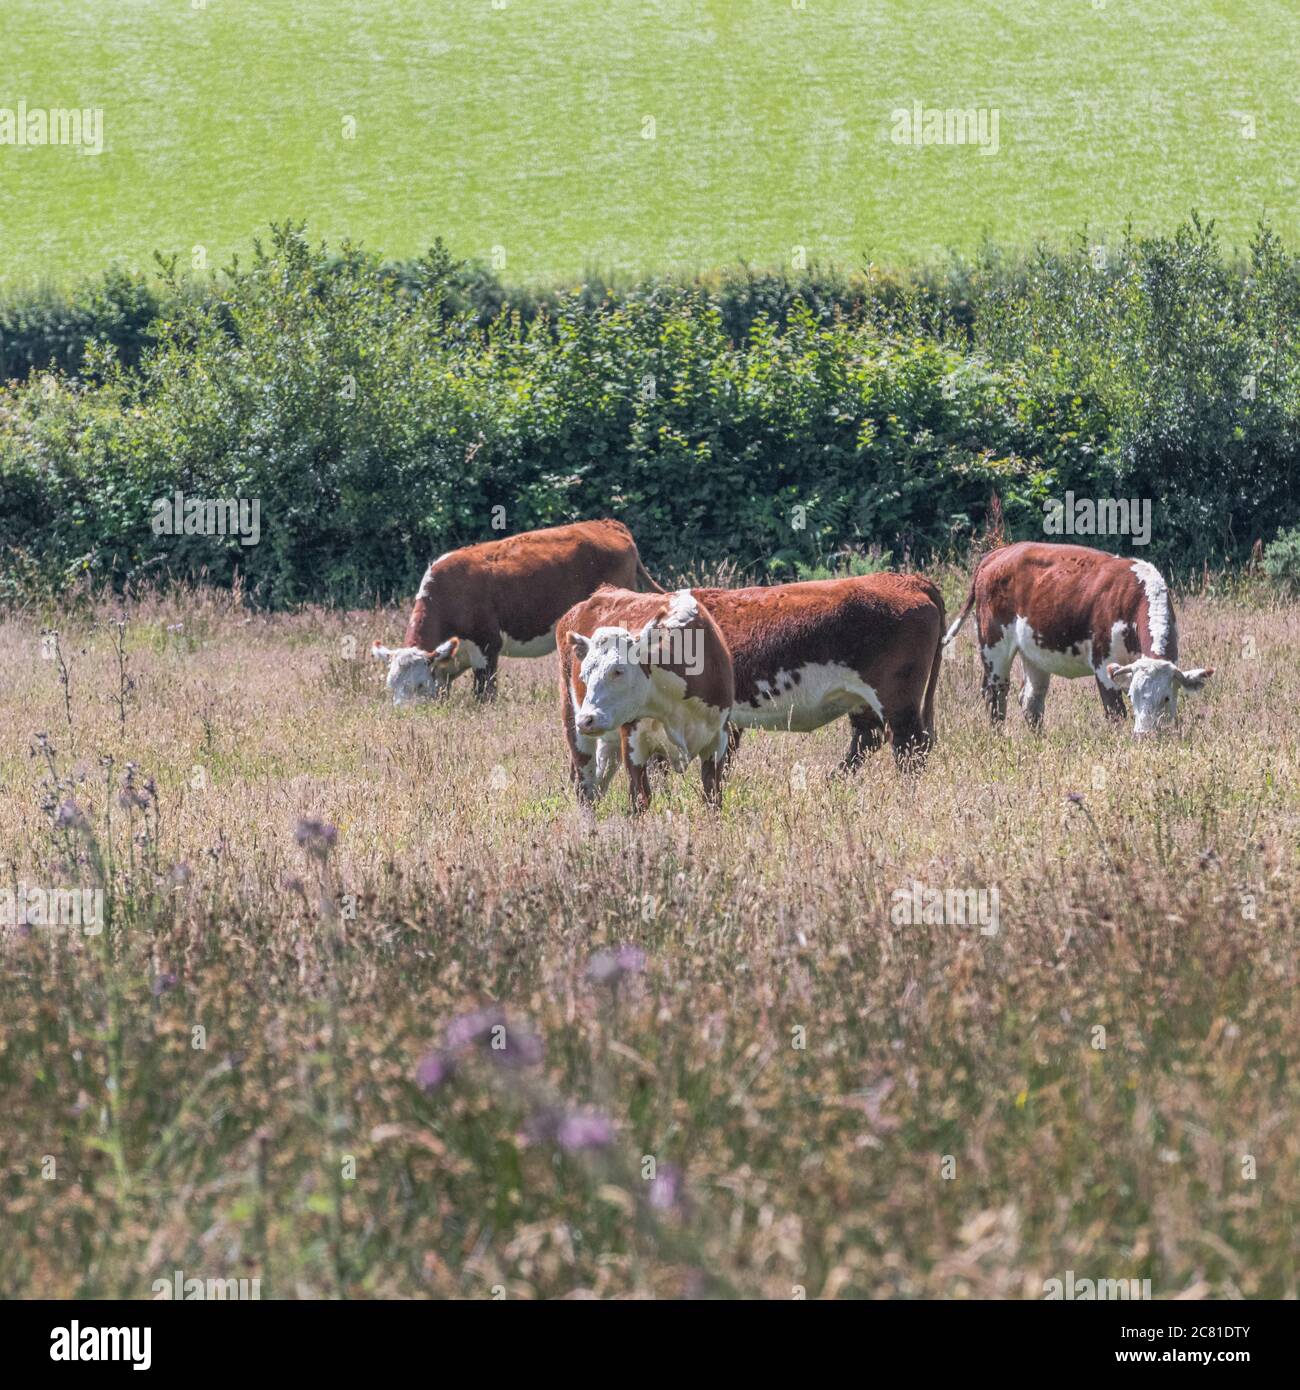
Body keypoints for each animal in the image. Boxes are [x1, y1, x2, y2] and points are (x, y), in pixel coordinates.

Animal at [372, 520, 662, 703]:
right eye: (391, 685)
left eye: (418, 685)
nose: (405, 714)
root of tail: (608, 524)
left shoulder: (488, 645)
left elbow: (484, 694)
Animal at [558, 586, 734, 812]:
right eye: (583, 676)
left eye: (618, 671)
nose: (586, 720)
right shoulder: (633, 744)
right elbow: (640, 798)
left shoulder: (718, 740)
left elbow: (713, 798)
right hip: (574, 723)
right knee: (585, 787)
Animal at [942, 541, 1213, 734]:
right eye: (1132, 696)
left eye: (1166, 697)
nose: (1143, 735)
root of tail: (1000, 552)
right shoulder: (1104, 665)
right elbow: (1115, 713)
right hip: (993, 645)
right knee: (995, 694)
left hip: (1034, 652)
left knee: (1031, 699)